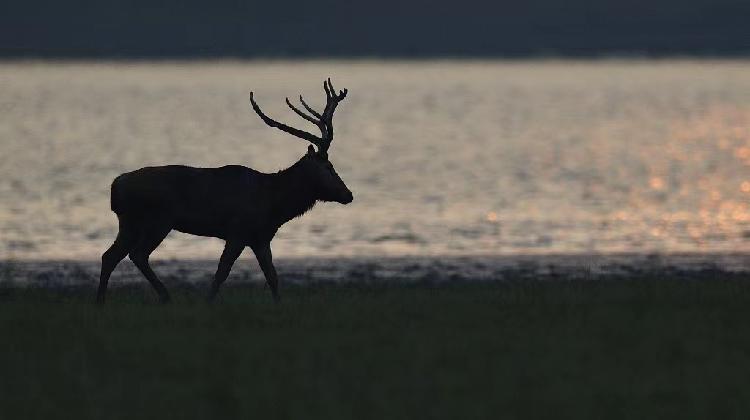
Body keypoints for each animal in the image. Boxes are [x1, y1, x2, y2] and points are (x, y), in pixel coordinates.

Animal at [96, 79, 352, 304]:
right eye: (329, 167)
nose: (348, 194)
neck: (274, 203)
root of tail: (115, 188)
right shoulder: (238, 231)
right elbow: (222, 272)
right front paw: (208, 303)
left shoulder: (261, 238)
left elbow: (273, 276)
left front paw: (280, 305)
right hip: (158, 220)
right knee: (137, 254)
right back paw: (164, 296)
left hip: (130, 223)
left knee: (110, 255)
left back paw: (102, 301)